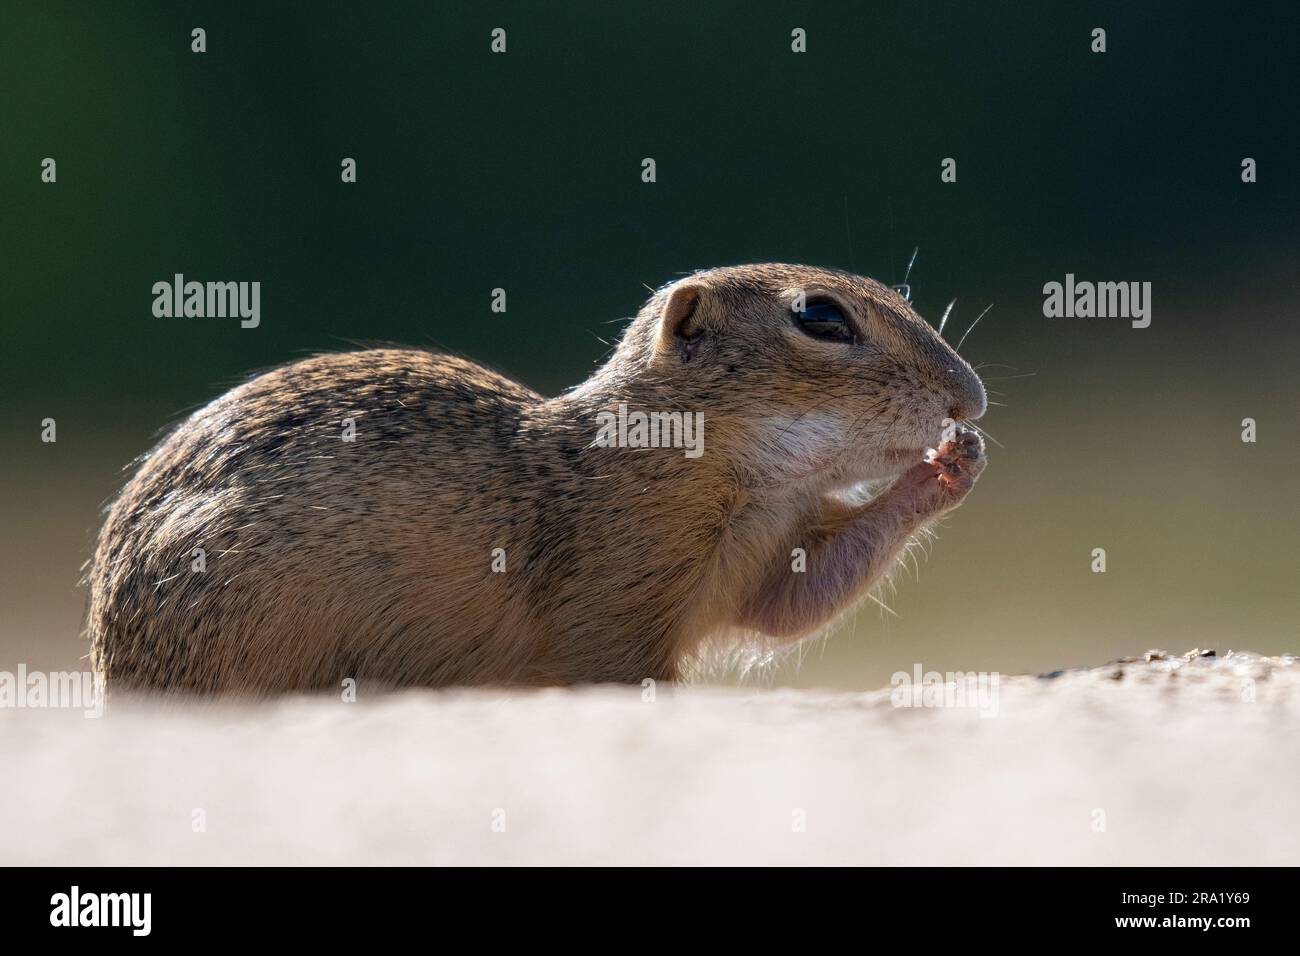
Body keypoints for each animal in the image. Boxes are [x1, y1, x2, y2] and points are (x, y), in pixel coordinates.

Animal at [87, 263, 987, 693]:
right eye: (820, 318)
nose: (969, 398)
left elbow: (794, 605)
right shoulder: (621, 585)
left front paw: (954, 464)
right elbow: (623, 666)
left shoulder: (771, 550)